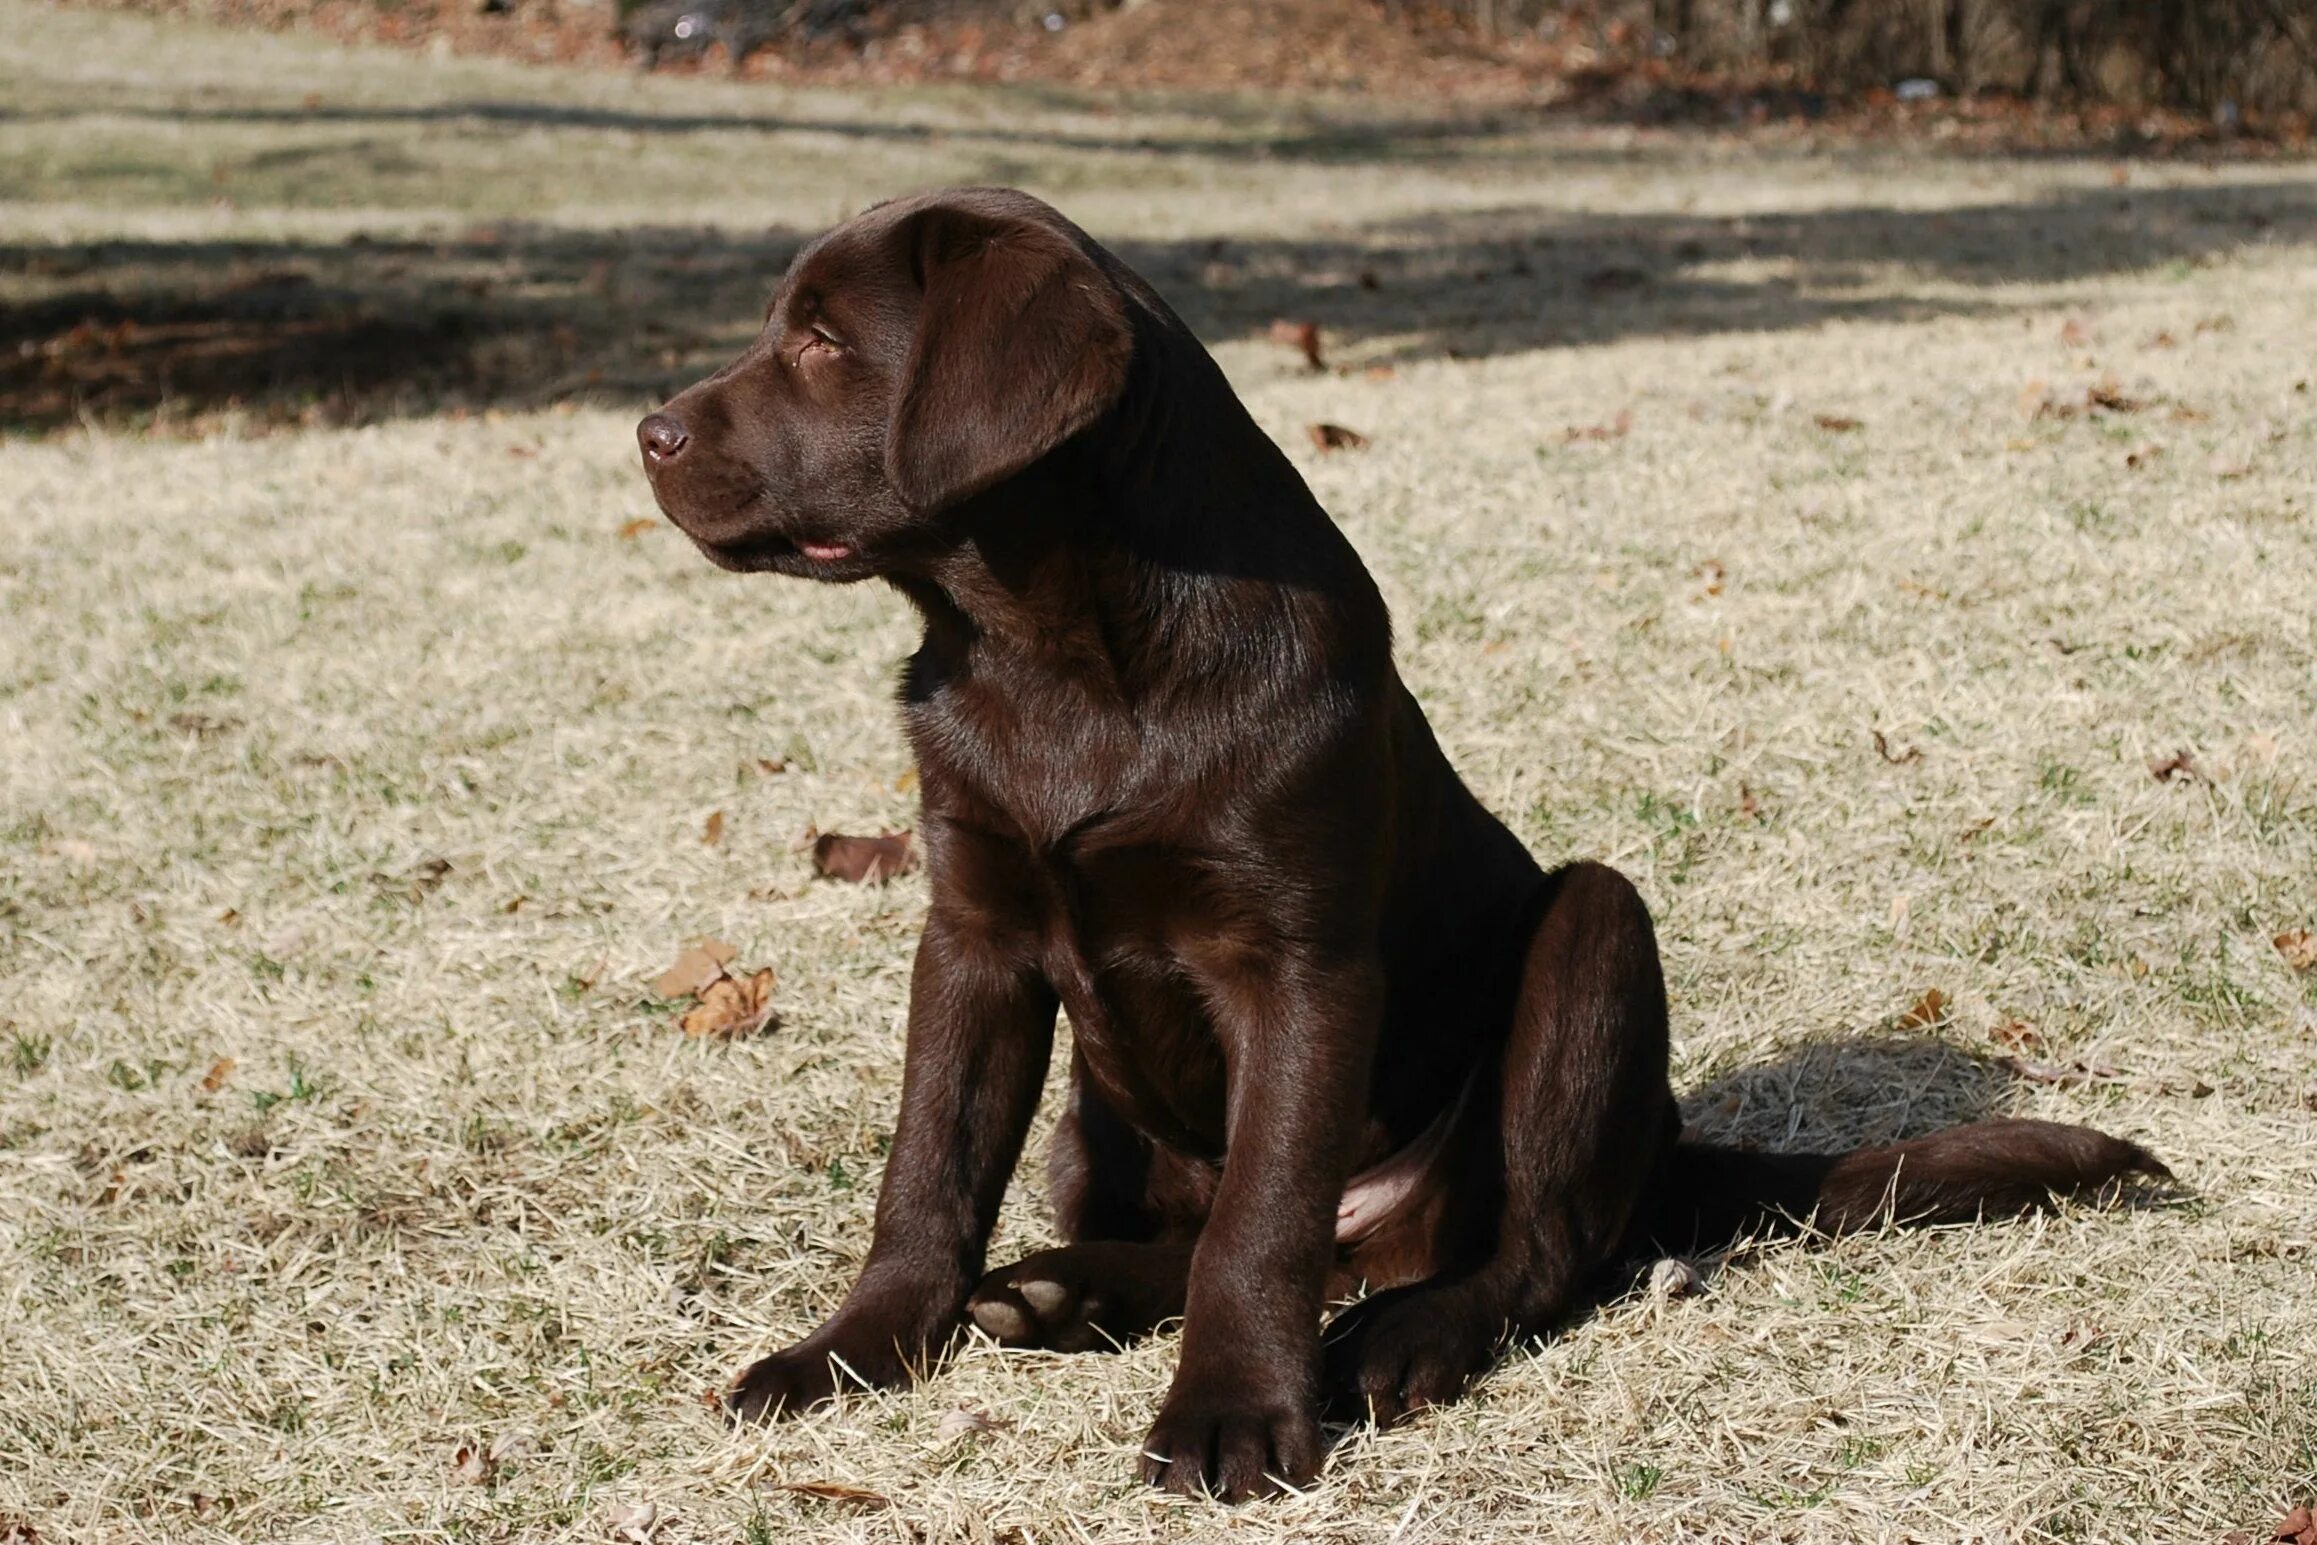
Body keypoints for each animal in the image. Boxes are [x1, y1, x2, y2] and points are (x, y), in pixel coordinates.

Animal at [630, 187, 2150, 1500]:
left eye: (824, 341)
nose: (647, 432)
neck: (1049, 652)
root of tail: (1670, 1144)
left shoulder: (1298, 964)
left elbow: (1264, 1216)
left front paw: (1232, 1414)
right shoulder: (973, 935)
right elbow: (927, 1177)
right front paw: (846, 1356)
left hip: (1595, 936)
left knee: (1531, 1249)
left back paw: (1409, 1335)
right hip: (1092, 1115)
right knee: (1205, 1231)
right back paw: (1068, 1286)